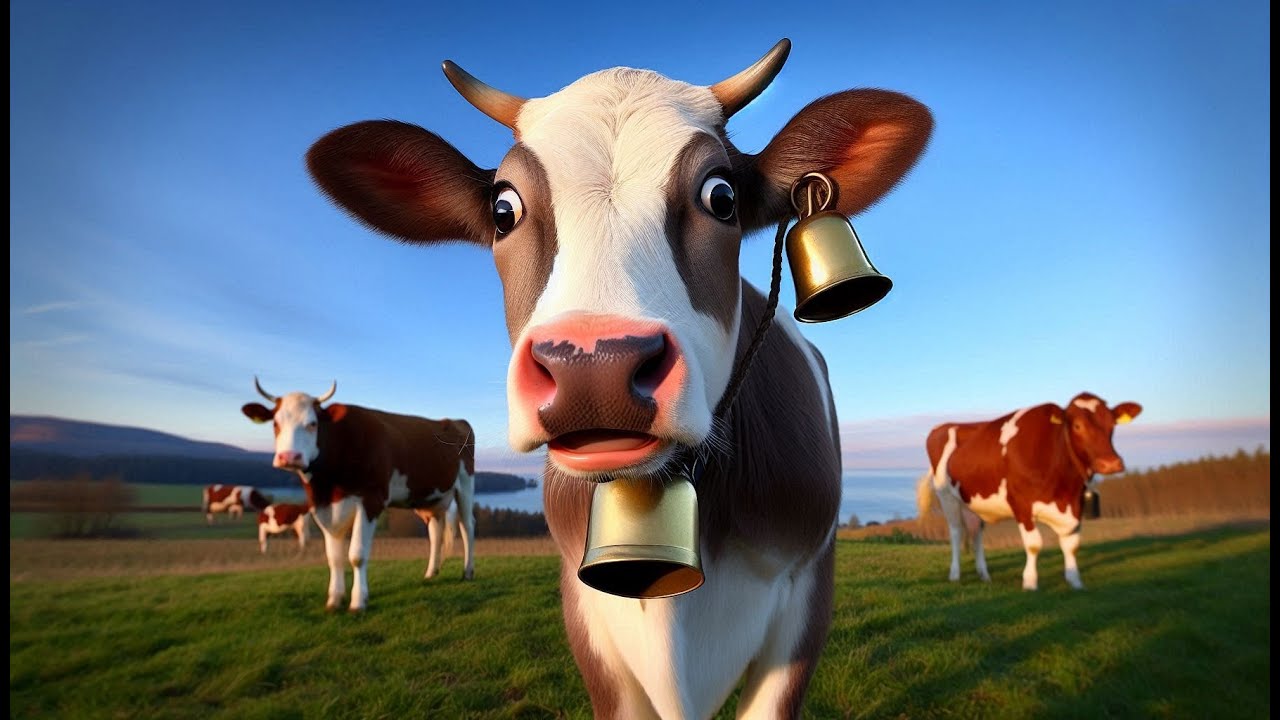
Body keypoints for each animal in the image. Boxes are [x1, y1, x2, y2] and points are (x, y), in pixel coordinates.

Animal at [241, 379, 477, 612]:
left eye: (313, 423)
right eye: (275, 423)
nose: (290, 457)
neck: (329, 483)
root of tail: (455, 421)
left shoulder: (371, 500)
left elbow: (357, 555)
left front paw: (358, 601)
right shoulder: (323, 506)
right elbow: (334, 557)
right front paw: (334, 600)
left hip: (465, 483)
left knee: (467, 526)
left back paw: (467, 572)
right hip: (431, 499)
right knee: (436, 531)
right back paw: (430, 573)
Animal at [917, 392, 1143, 591]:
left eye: (1112, 424)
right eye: (1078, 425)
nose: (1111, 464)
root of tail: (945, 425)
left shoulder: (1076, 504)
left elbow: (1071, 544)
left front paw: (1074, 580)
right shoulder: (1021, 503)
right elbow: (1034, 544)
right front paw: (1030, 582)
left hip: (973, 502)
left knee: (975, 532)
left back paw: (984, 575)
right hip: (947, 497)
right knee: (956, 532)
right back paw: (955, 575)